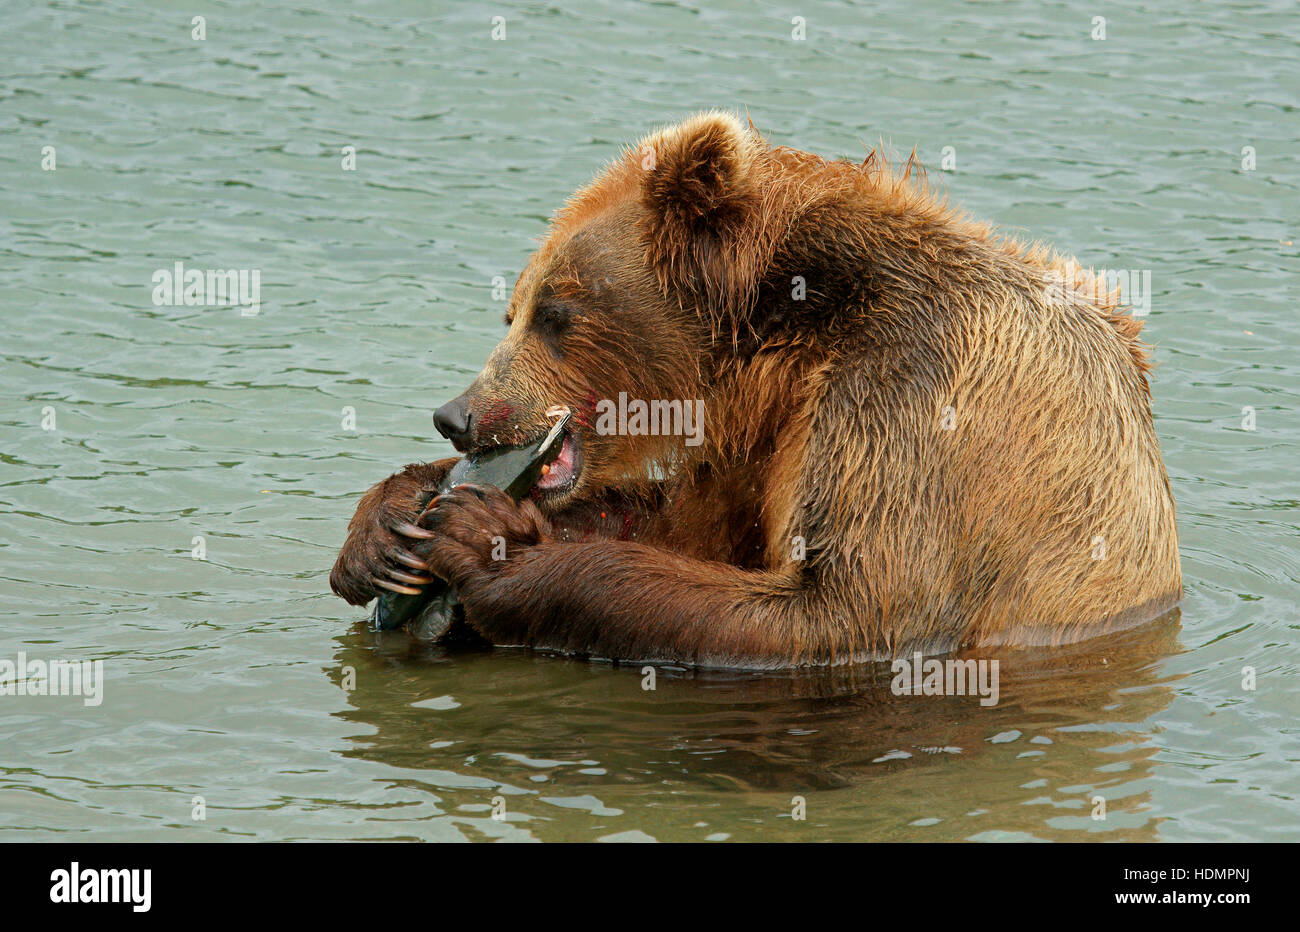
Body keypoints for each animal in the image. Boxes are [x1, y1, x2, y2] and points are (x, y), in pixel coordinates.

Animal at [329, 111, 1182, 668]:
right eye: (512, 309)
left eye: (554, 312)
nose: (458, 415)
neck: (794, 333)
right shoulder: (764, 440)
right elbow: (689, 530)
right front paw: (388, 521)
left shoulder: (908, 394)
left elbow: (847, 606)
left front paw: (490, 542)